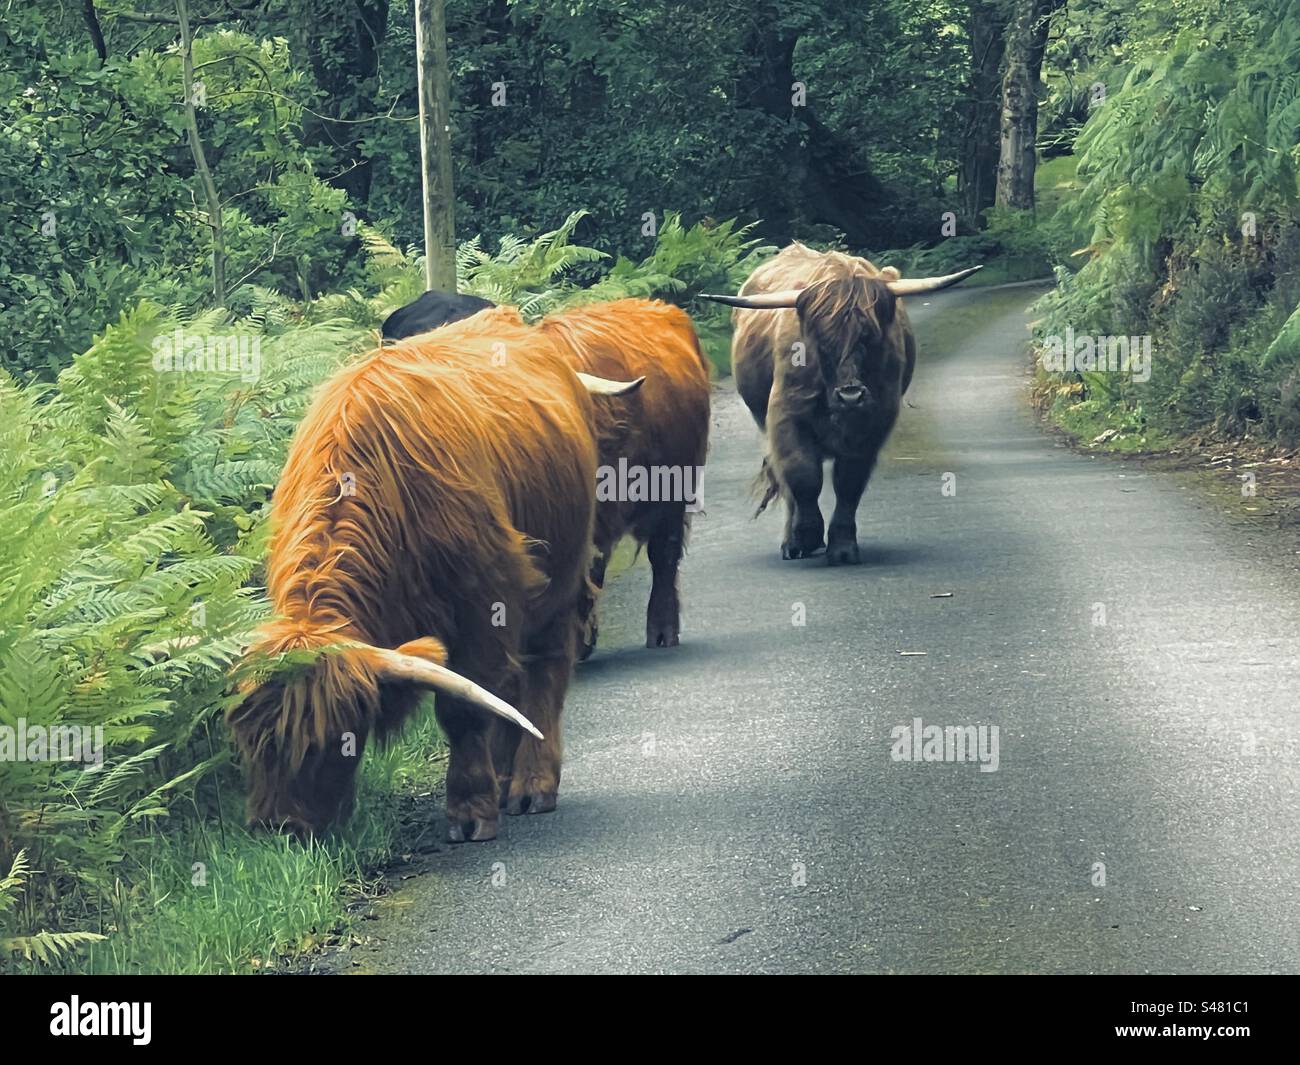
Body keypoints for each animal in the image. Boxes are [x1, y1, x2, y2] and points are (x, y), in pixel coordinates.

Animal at [232, 305, 644, 842]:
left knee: (544, 669)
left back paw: (532, 785)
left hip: (562, 571)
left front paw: (470, 811)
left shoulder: (483, 602)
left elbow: (464, 707)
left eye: (331, 741)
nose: (278, 827)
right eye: (248, 739)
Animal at [712, 244, 977, 566]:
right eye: (822, 341)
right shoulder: (785, 415)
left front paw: (842, 547)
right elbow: (802, 475)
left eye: (870, 337)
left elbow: (849, 482)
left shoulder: (875, 421)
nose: (851, 396)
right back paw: (792, 542)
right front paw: (806, 535)